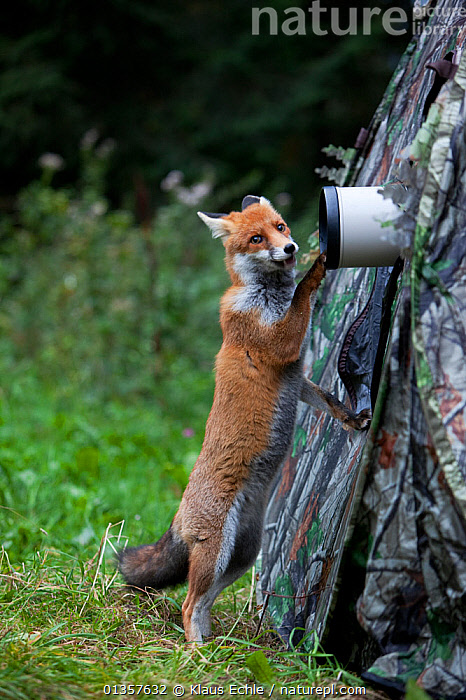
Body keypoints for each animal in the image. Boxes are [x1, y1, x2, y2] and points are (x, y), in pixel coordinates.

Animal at [118, 195, 371, 643]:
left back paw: (214, 646)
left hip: (243, 555)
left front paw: (352, 420)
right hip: (217, 552)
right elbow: (303, 294)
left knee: (200, 604)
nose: (290, 248)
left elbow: (328, 399)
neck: (262, 296)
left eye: (280, 227)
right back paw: (196, 652)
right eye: (257, 238)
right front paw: (318, 264)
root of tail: (180, 513)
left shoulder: (296, 376)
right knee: (187, 603)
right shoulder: (279, 345)